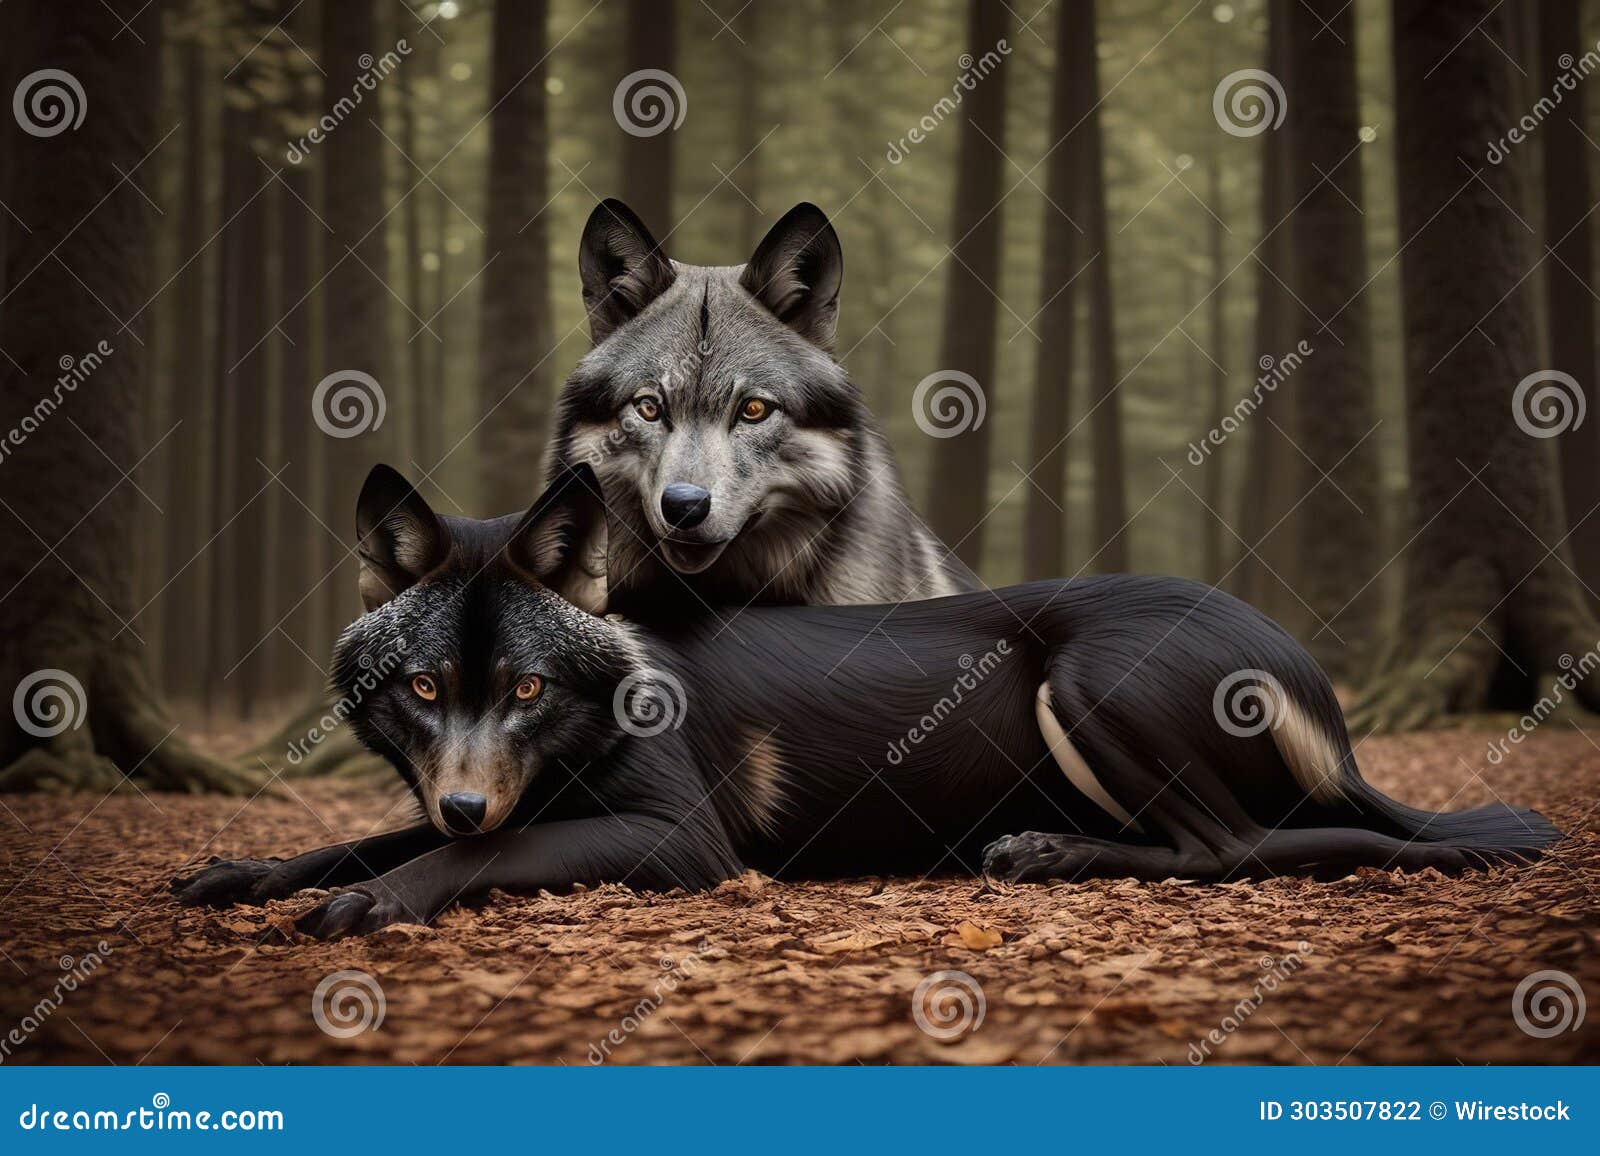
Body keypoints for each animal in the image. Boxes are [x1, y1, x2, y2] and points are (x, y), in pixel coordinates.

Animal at [171, 465, 1560, 939]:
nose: (460, 798)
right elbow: (357, 837)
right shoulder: (475, 797)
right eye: (421, 687)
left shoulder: (679, 841)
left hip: (1090, 676)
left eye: (523, 685)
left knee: (1234, 847)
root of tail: (1309, 669)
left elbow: (468, 856)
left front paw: (378, 901)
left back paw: (1048, 851)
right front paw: (238, 872)